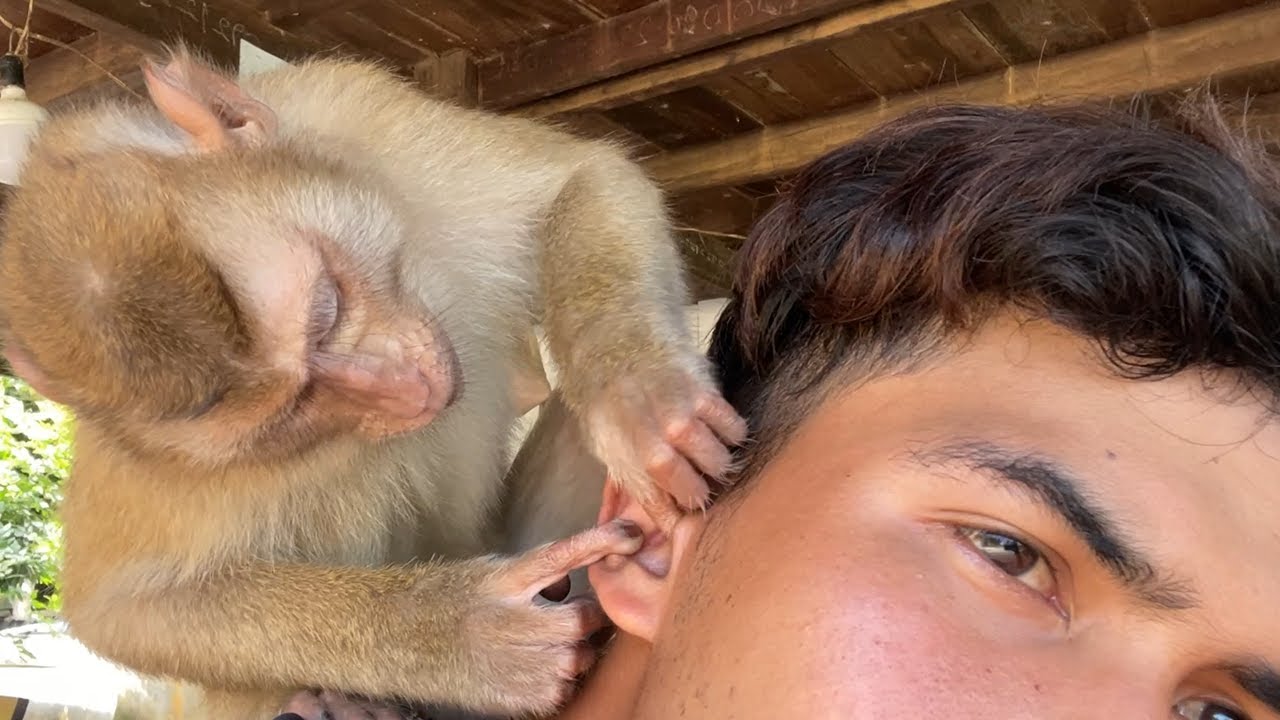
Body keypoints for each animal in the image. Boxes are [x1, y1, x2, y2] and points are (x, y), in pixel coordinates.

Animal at [0, 46, 748, 720]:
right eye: (291, 409)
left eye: (329, 307)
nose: (408, 395)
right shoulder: (155, 455)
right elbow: (124, 609)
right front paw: (465, 636)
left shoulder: (360, 109)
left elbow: (582, 178)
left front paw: (637, 397)